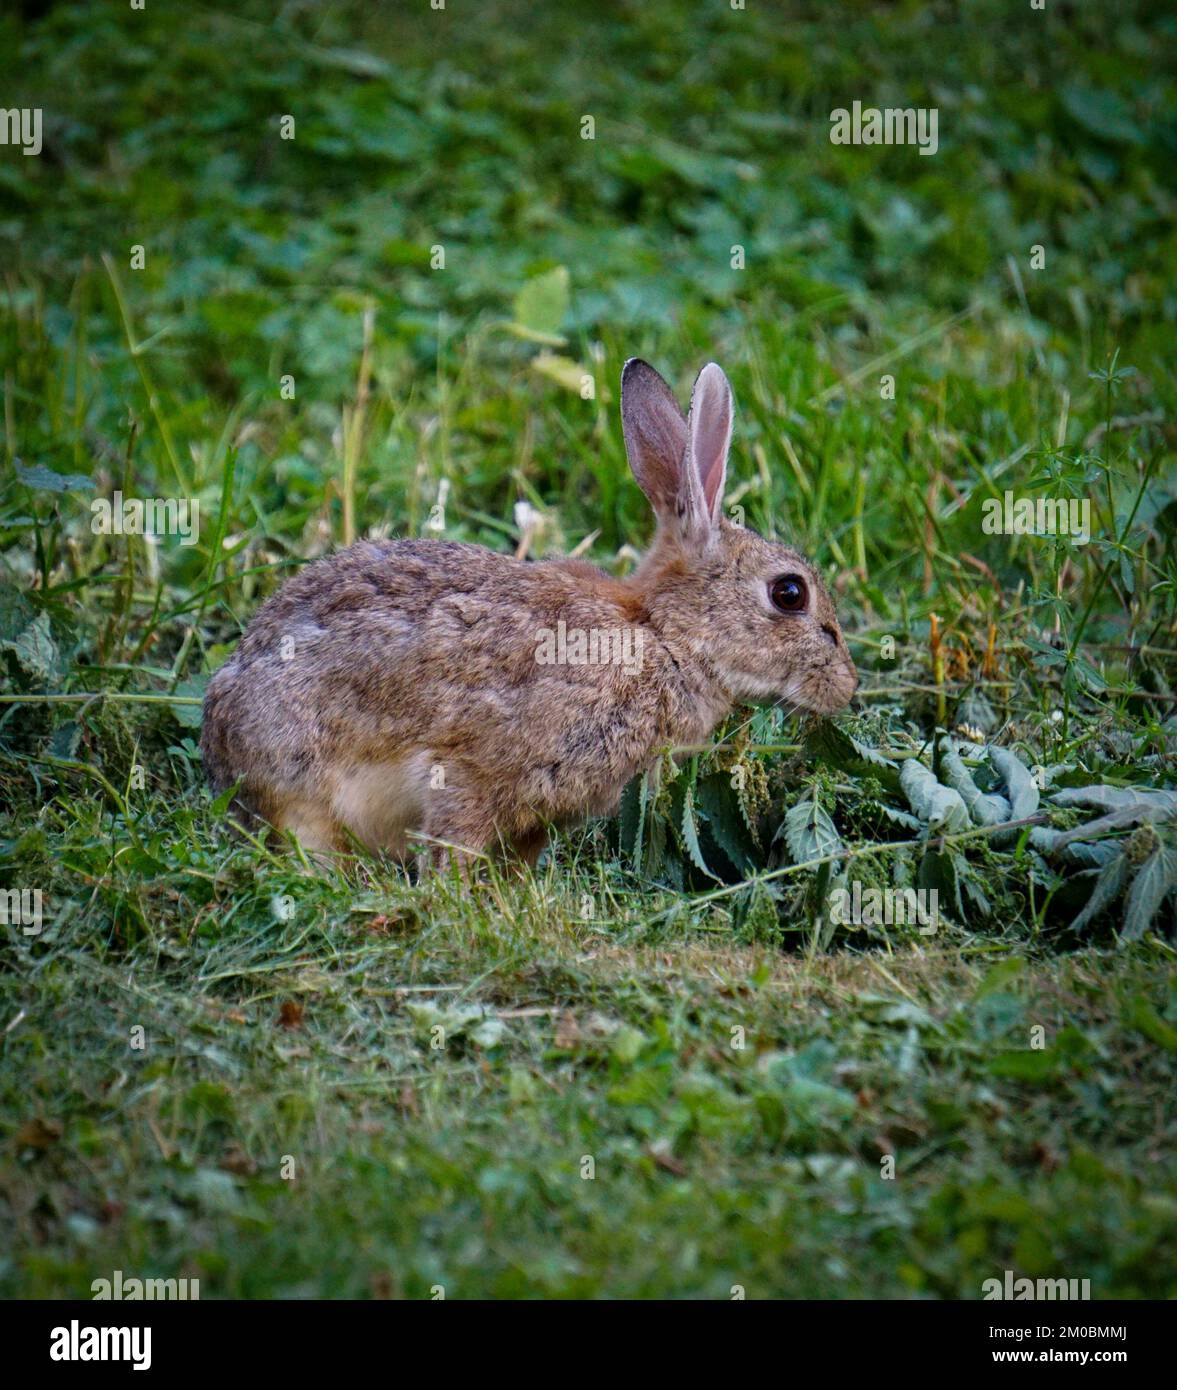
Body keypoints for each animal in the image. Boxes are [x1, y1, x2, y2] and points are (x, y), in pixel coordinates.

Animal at [200, 359, 858, 869]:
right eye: (789, 594)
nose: (847, 687)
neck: (663, 634)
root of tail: (219, 739)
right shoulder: (477, 770)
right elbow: (456, 838)